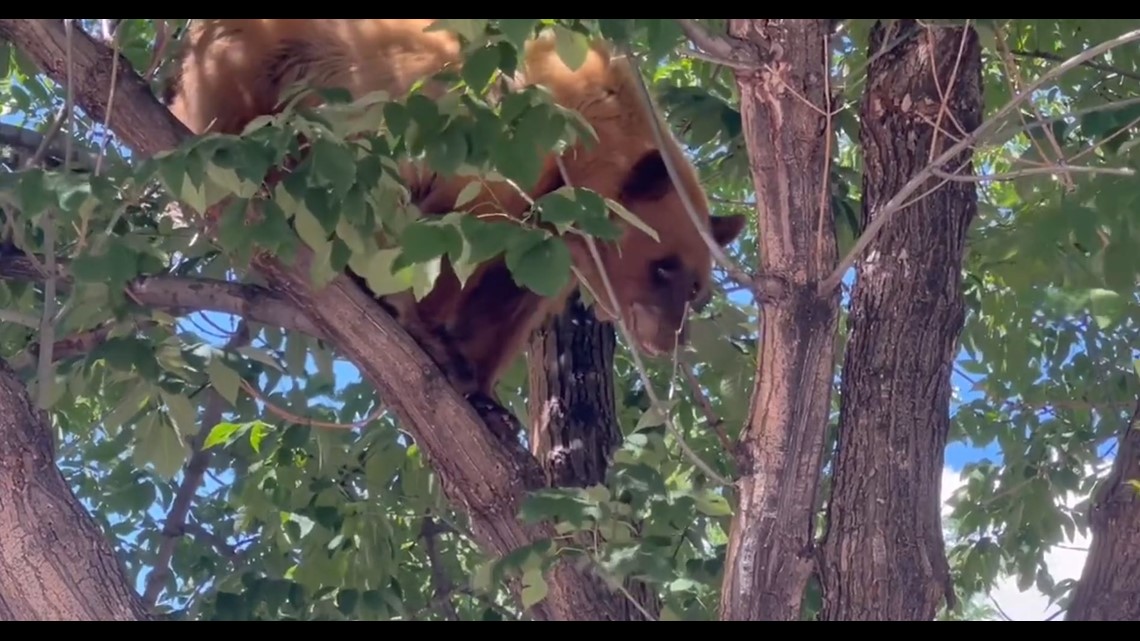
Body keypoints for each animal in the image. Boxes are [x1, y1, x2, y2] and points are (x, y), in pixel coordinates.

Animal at [163, 19, 747, 404]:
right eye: (664, 267)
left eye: (698, 288)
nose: (670, 339)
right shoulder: (517, 147)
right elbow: (458, 238)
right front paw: (432, 332)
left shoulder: (556, 237)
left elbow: (511, 293)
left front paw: (477, 377)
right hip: (262, 58)